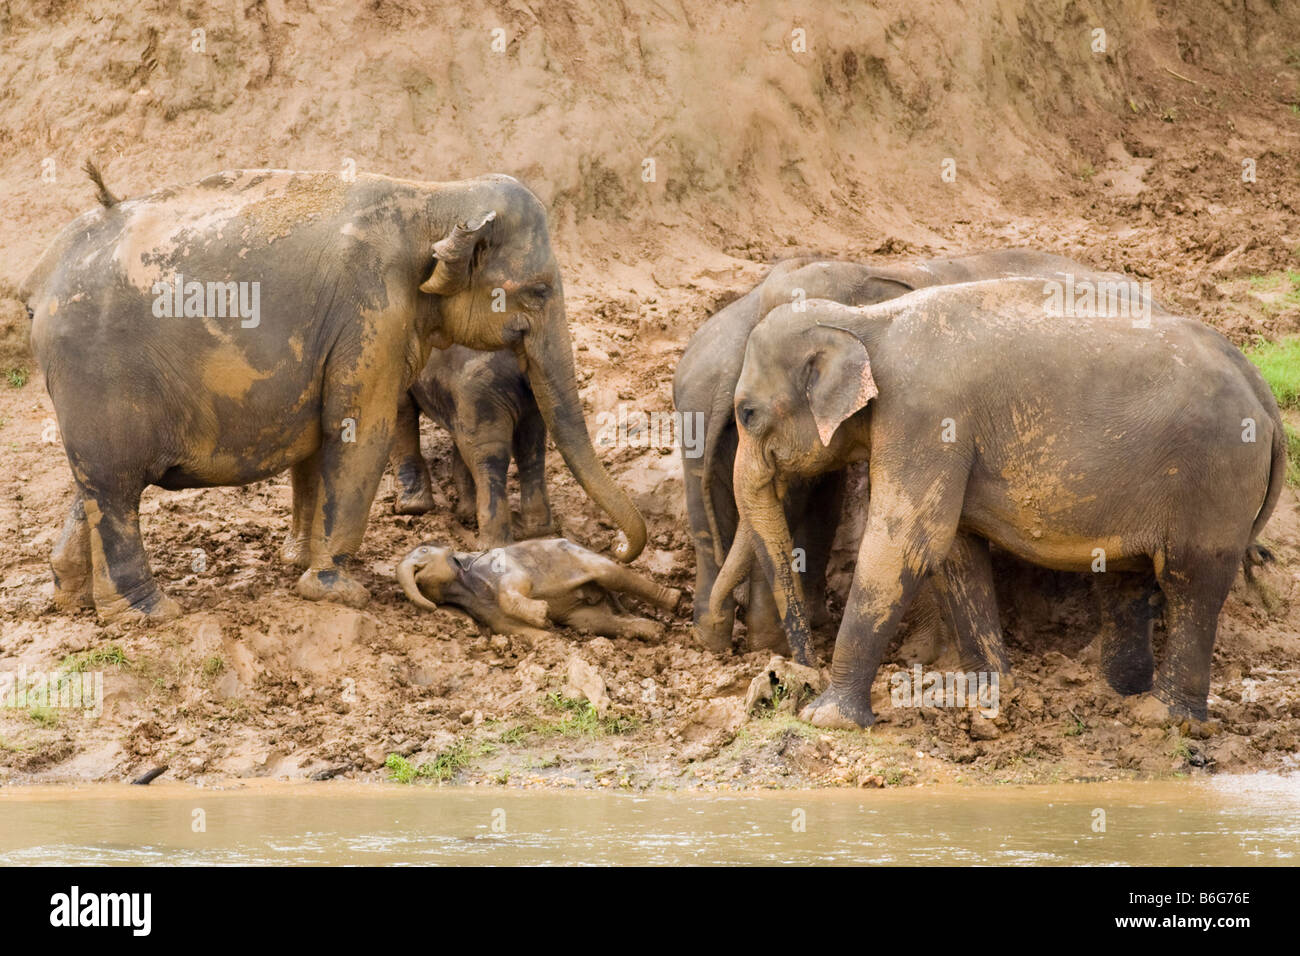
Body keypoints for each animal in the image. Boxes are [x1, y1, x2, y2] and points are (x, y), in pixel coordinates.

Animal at [386, 344, 556, 548]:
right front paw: (464, 513)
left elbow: (399, 407)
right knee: (530, 447)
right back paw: (532, 531)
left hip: (480, 395)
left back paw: (491, 543)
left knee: (489, 454)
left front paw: (412, 509)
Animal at [397, 538, 682, 641]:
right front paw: (548, 636)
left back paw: (676, 600)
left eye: (423, 550)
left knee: (612, 575)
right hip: (584, 611)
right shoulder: (483, 610)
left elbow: (518, 584)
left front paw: (542, 615)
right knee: (593, 621)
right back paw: (654, 631)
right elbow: (510, 627)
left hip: (582, 557)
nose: (432, 607)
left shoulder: (499, 565)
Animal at [718, 276, 1285, 728]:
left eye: (747, 414)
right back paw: (1118, 699)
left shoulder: (926, 416)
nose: (796, 674)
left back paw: (1163, 718)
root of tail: (1264, 393)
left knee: (1190, 582)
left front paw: (827, 718)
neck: (866, 321)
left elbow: (907, 542)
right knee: (1129, 581)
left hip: (1216, 477)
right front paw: (982, 695)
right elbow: (955, 551)